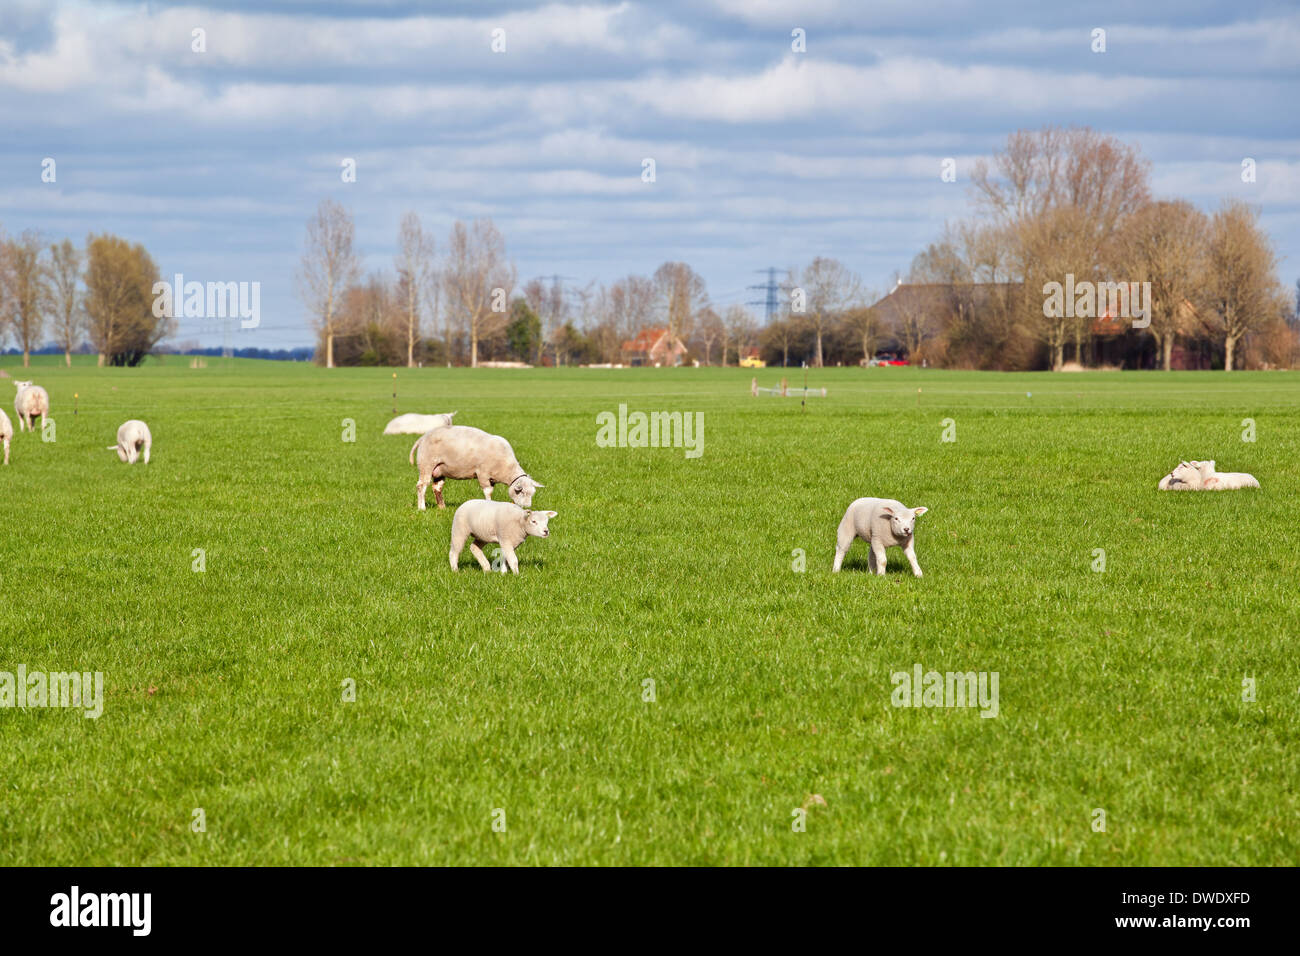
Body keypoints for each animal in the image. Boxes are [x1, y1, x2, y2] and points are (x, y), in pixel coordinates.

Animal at [410, 424, 543, 510]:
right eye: (521, 492)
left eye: (532, 493)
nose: (527, 508)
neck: (506, 466)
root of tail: (423, 437)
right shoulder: (483, 473)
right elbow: (488, 491)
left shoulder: (492, 479)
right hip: (426, 464)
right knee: (421, 485)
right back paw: (422, 508)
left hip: (440, 470)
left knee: (437, 487)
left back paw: (442, 507)